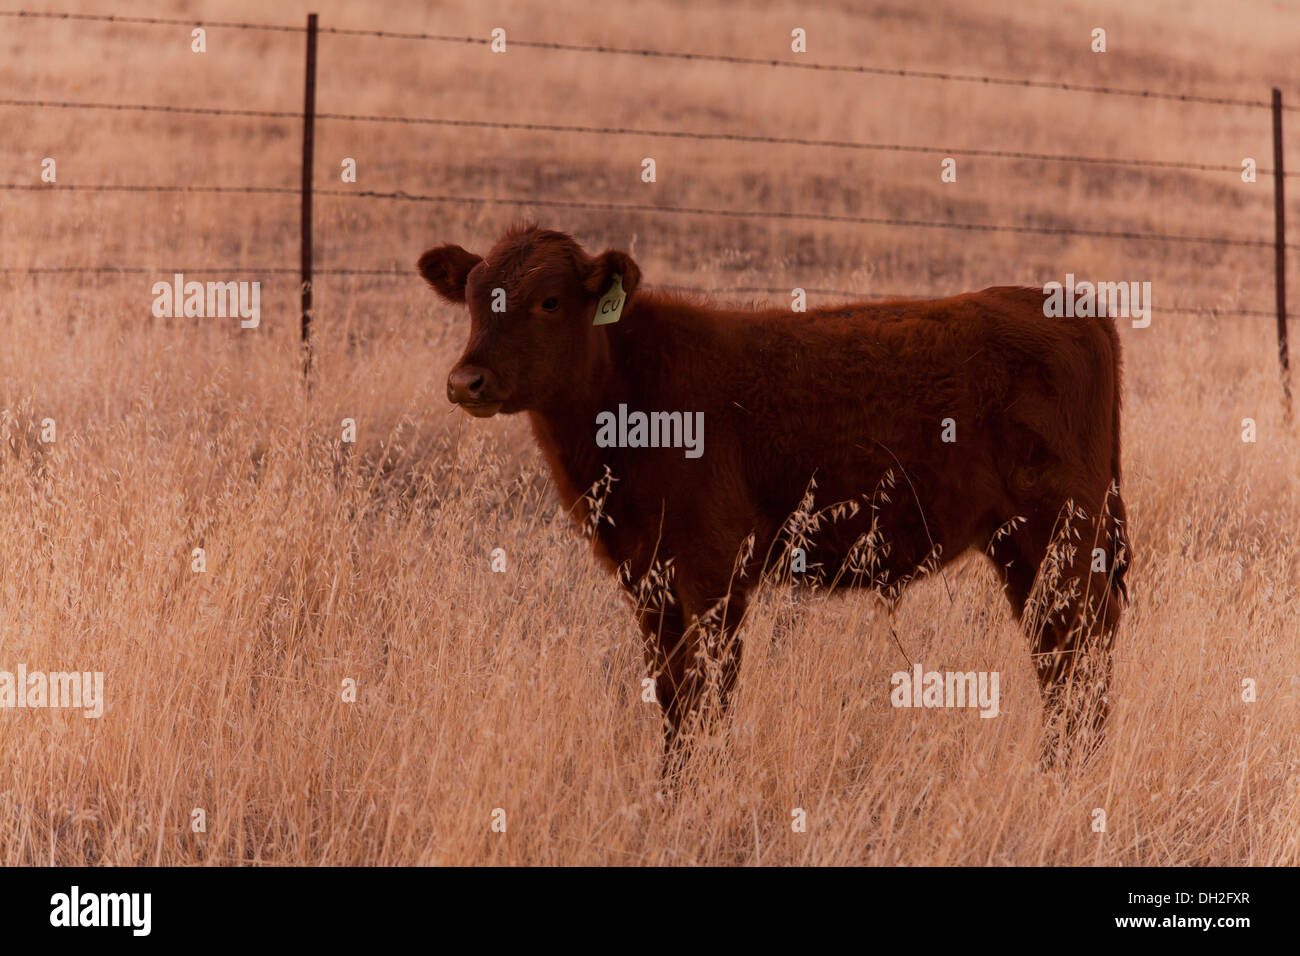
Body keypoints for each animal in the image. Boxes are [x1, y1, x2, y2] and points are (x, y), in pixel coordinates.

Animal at [419, 224, 1129, 775]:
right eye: (474, 298)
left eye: (548, 300)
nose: (466, 380)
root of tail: (1061, 303)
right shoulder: (646, 576)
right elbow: (672, 696)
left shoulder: (715, 569)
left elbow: (709, 694)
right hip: (1023, 548)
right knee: (1057, 653)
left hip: (1064, 534)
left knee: (1082, 652)